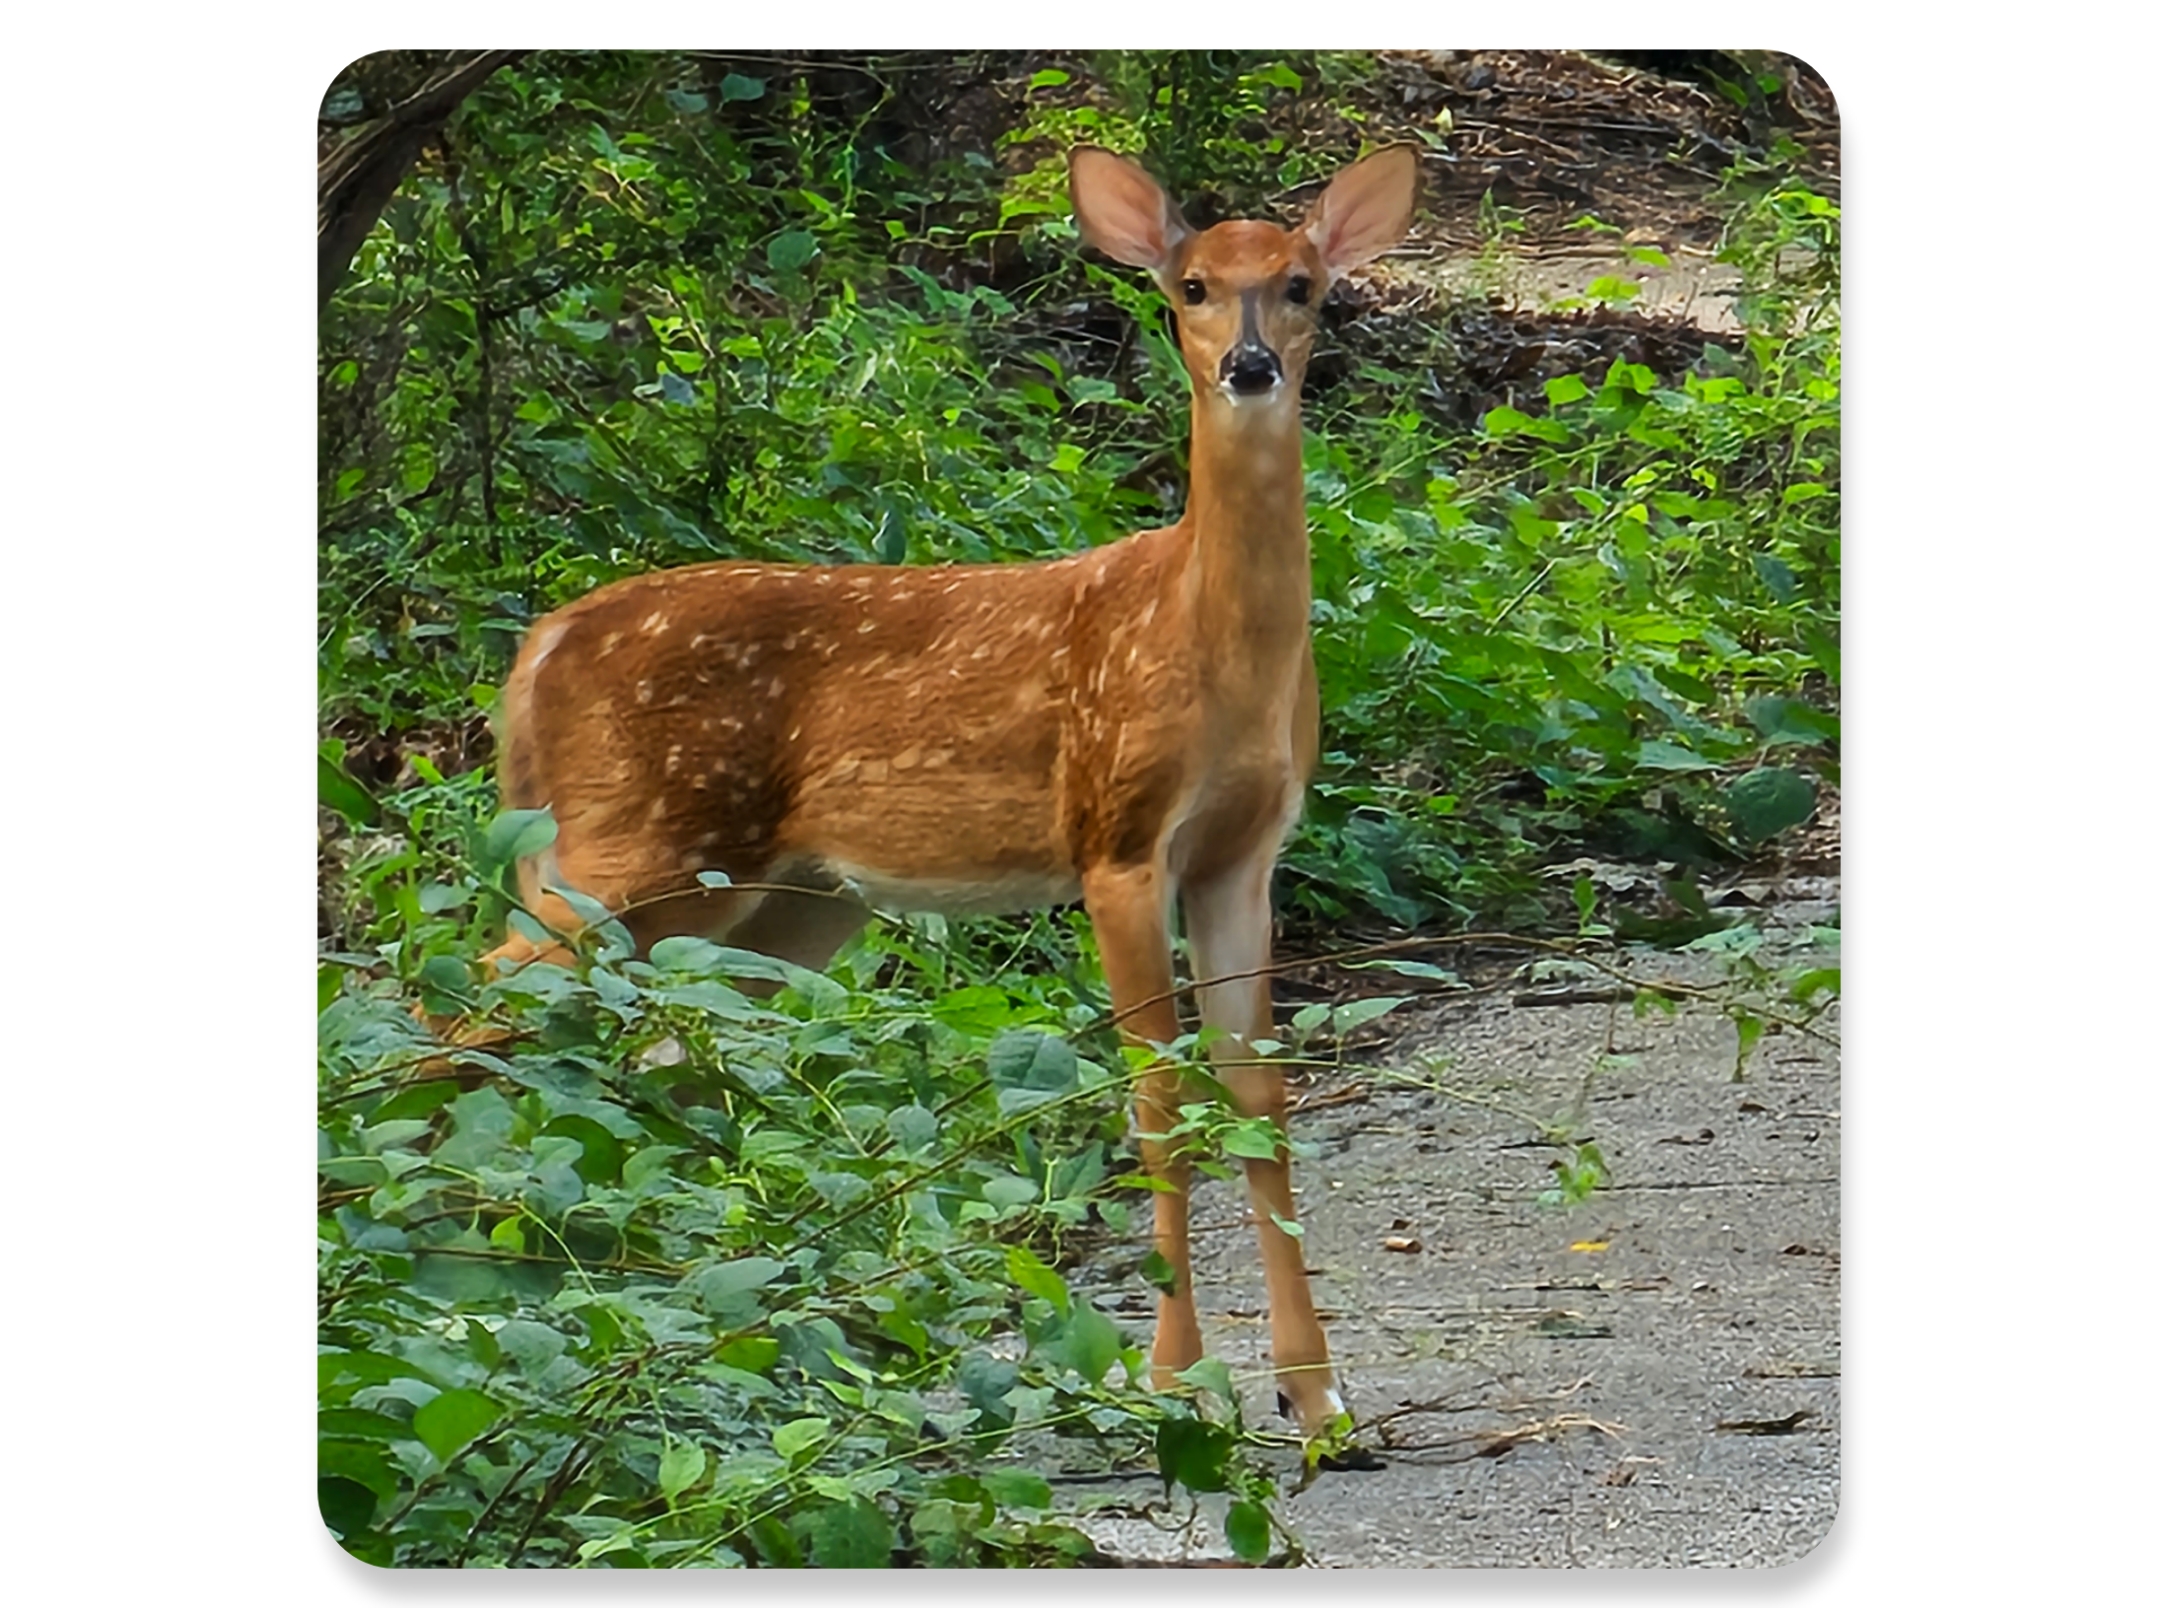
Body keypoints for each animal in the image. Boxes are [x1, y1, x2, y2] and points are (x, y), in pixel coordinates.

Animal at [480, 143, 1421, 1443]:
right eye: (1188, 286)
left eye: (1303, 285)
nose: (1249, 365)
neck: (1208, 642)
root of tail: (538, 649)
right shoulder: (1115, 835)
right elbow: (1157, 1106)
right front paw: (1174, 1382)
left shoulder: (1243, 853)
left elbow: (1258, 1099)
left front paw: (1317, 1395)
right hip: (622, 843)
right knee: (476, 1006)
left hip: (783, 901)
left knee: (635, 1052)